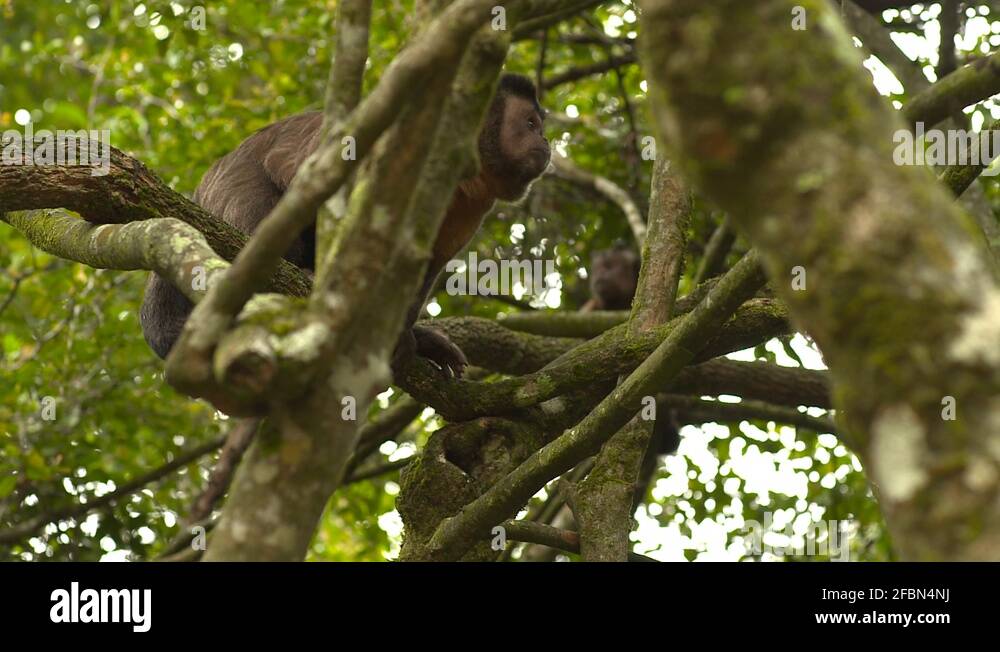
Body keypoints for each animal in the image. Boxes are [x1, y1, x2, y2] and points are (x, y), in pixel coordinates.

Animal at [140, 73, 550, 378]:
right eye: (530, 124)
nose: (546, 141)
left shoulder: (473, 205)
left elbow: (425, 263)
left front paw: (406, 338)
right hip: (232, 181)